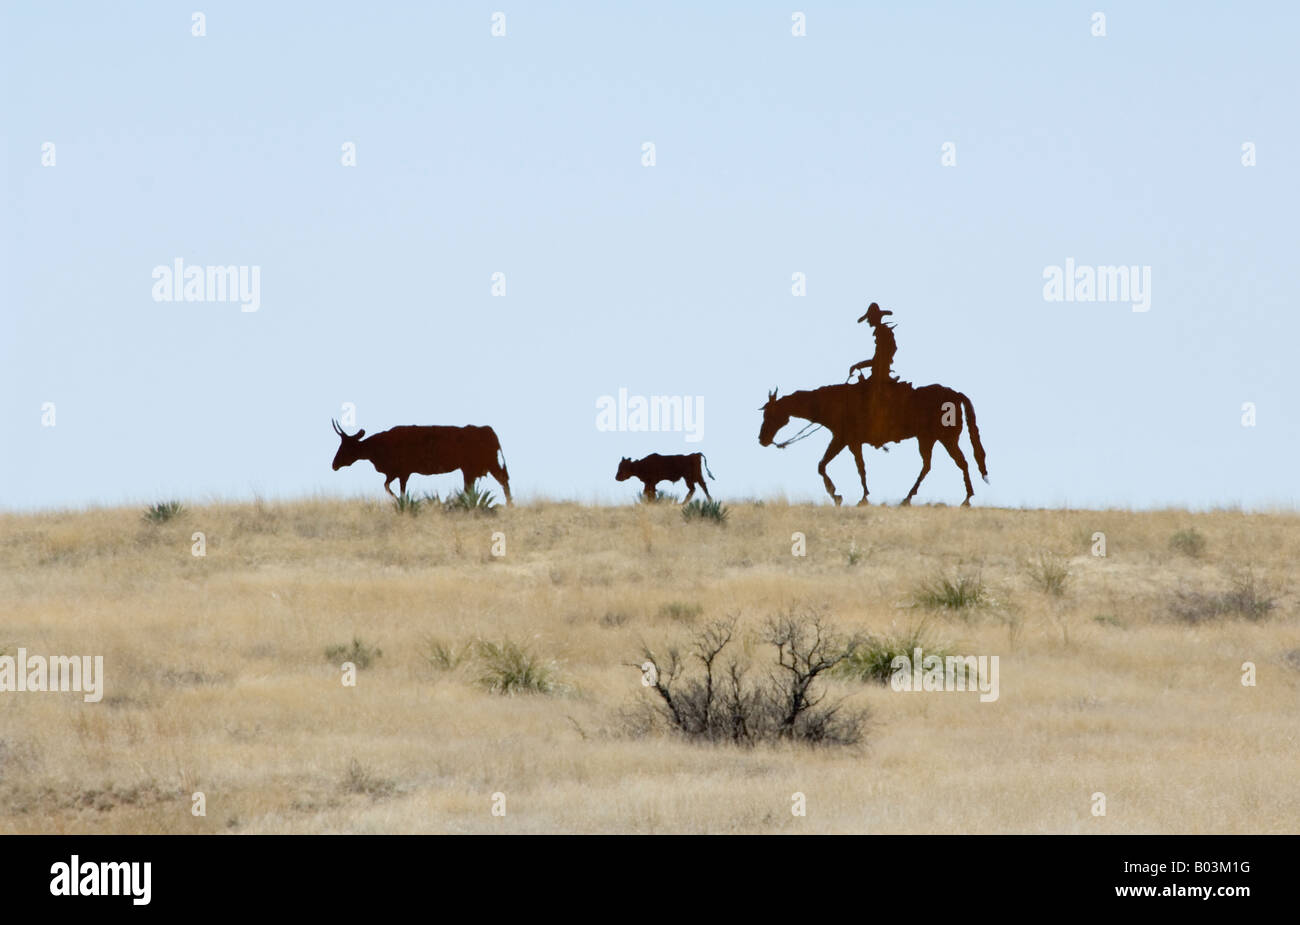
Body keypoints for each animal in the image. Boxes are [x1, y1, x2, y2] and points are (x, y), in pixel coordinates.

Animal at [331, 419, 513, 505]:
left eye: (346, 446)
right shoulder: (394, 473)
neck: (378, 450)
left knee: (503, 481)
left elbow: (400, 491)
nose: (334, 464)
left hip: (486, 464)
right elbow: (388, 486)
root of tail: (490, 431)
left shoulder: (403, 472)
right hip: (471, 468)